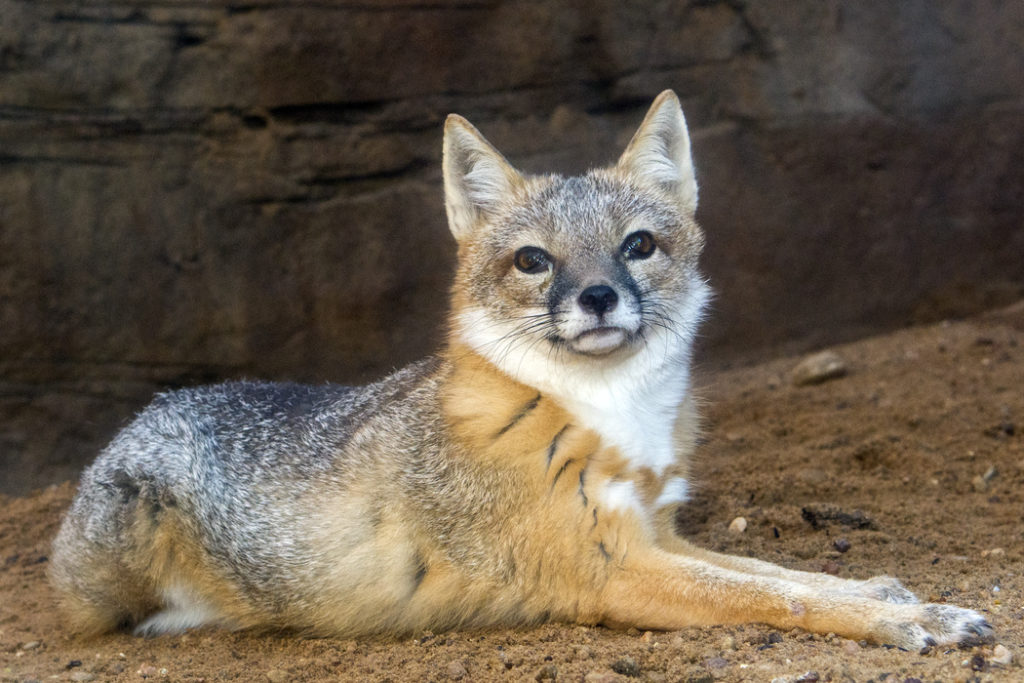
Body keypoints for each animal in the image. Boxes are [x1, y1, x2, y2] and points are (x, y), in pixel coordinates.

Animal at [51, 90, 993, 649]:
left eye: (638, 245)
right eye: (535, 261)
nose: (600, 297)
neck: (614, 413)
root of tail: (152, 409)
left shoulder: (656, 532)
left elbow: (780, 574)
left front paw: (888, 589)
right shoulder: (609, 568)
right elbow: (781, 599)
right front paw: (901, 619)